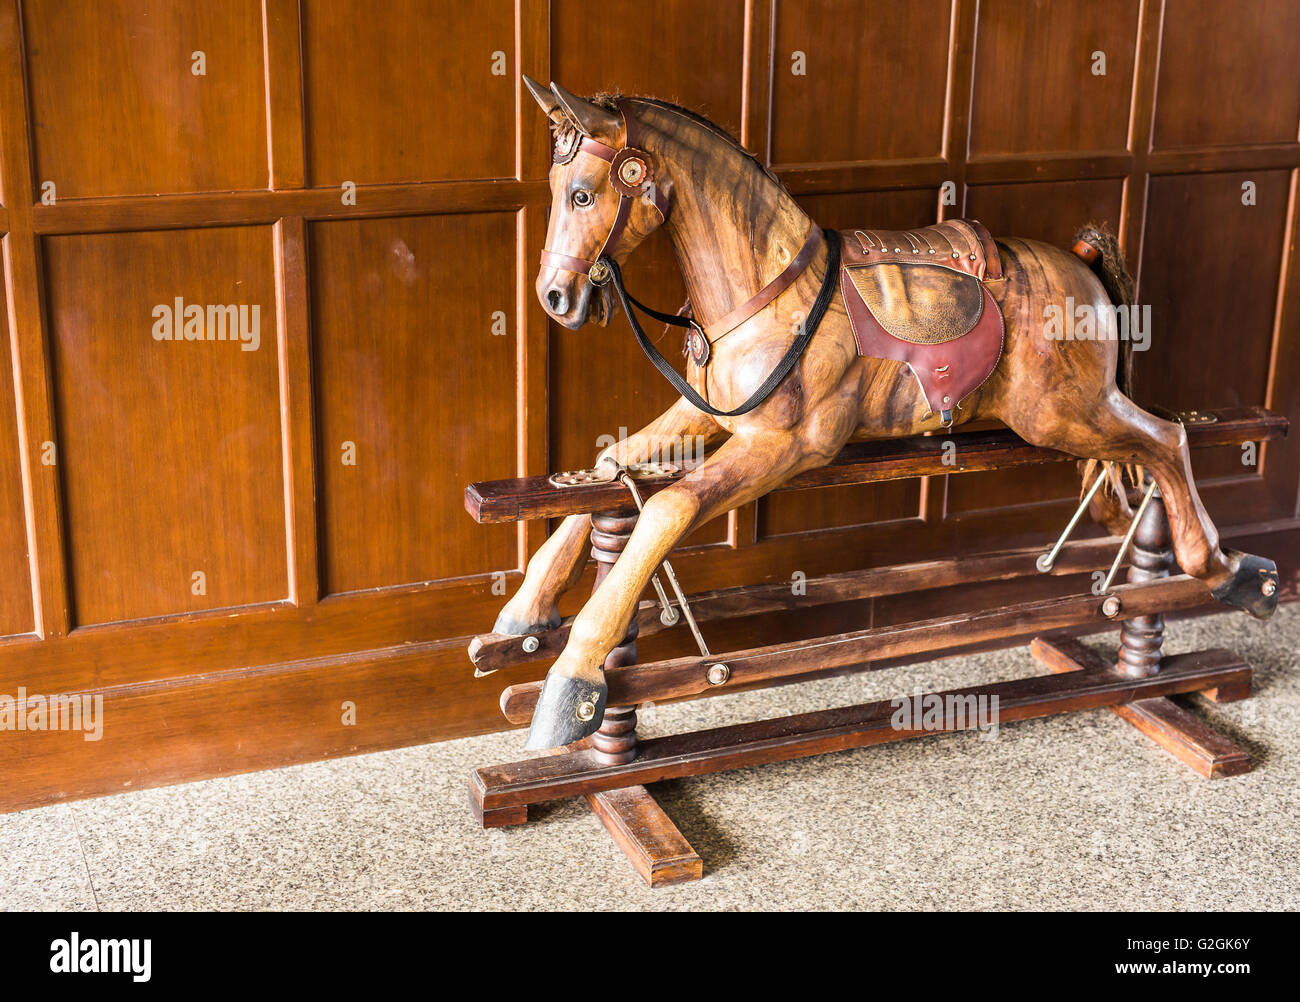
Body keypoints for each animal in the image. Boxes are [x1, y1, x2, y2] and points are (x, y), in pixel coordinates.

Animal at [498, 77, 1279, 750]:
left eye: (583, 192)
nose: (555, 299)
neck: (765, 288)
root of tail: (1083, 266)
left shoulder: (787, 442)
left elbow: (667, 508)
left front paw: (572, 681)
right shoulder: (711, 418)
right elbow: (604, 466)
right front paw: (524, 613)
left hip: (1066, 412)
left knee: (1168, 439)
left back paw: (1230, 570)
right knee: (1142, 456)